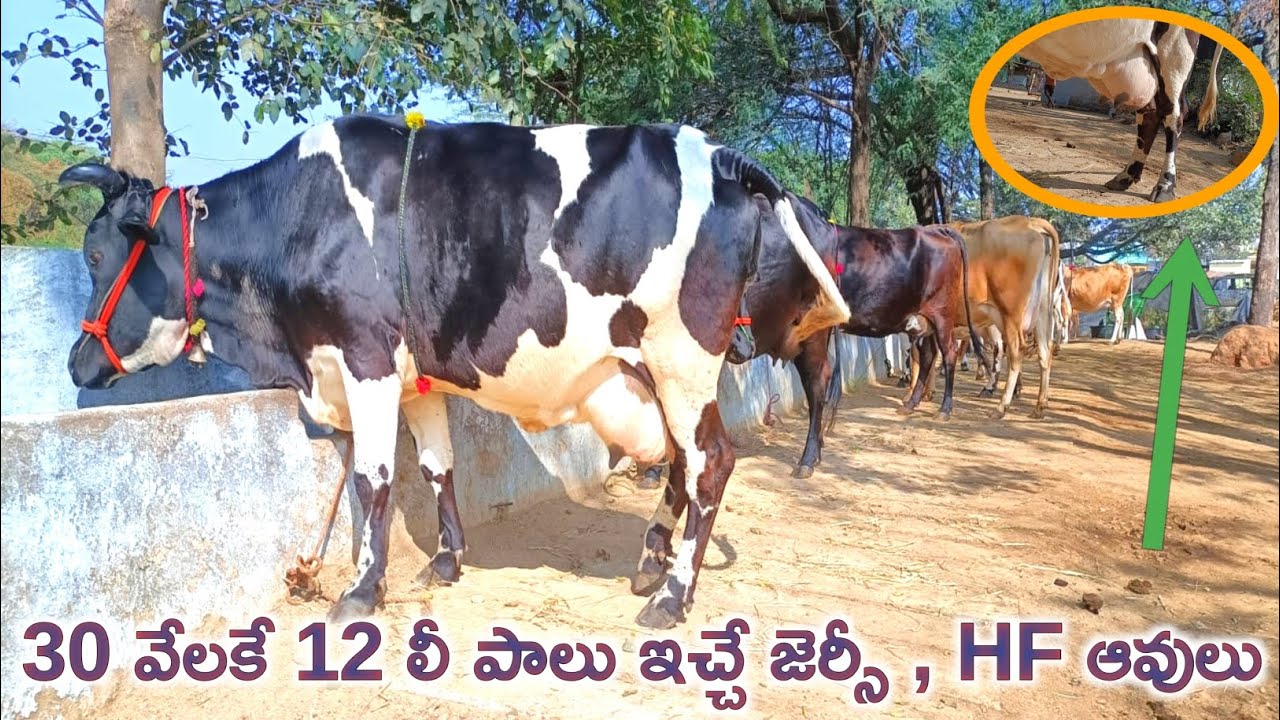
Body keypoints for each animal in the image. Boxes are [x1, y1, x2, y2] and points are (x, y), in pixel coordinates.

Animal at [59, 115, 849, 630]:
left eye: (96, 255)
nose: (76, 360)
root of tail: (719, 156)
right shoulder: (416, 374)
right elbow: (438, 465)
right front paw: (444, 560)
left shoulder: (367, 357)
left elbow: (374, 478)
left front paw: (361, 590)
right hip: (657, 371)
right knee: (684, 465)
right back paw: (652, 561)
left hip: (680, 356)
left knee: (711, 463)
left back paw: (671, 597)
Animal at [724, 211, 982, 479]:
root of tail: (936, 229)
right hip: (921, 321)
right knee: (929, 354)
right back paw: (910, 405)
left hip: (942, 314)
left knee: (949, 353)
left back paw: (944, 410)